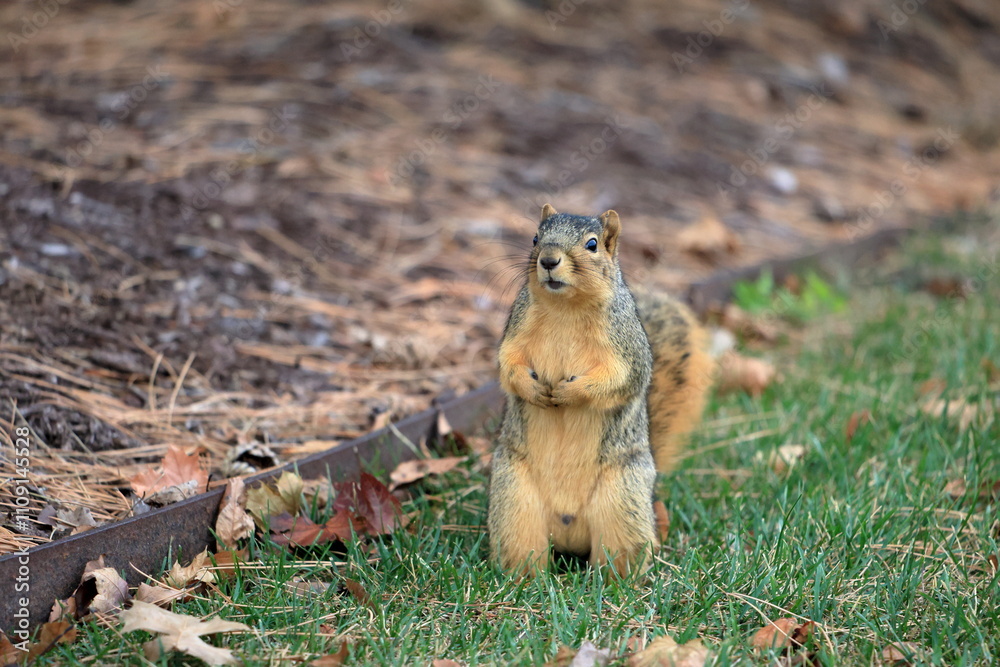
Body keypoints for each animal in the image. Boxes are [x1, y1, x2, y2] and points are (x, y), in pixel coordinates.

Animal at [487, 204, 714, 576]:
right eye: (535, 238)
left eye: (592, 244)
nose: (548, 260)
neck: (564, 307)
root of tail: (568, 531)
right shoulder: (516, 330)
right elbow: (508, 366)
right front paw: (532, 389)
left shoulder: (625, 347)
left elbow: (618, 379)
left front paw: (569, 393)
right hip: (513, 500)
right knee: (524, 548)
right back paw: (521, 579)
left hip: (622, 500)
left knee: (619, 551)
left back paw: (618, 581)